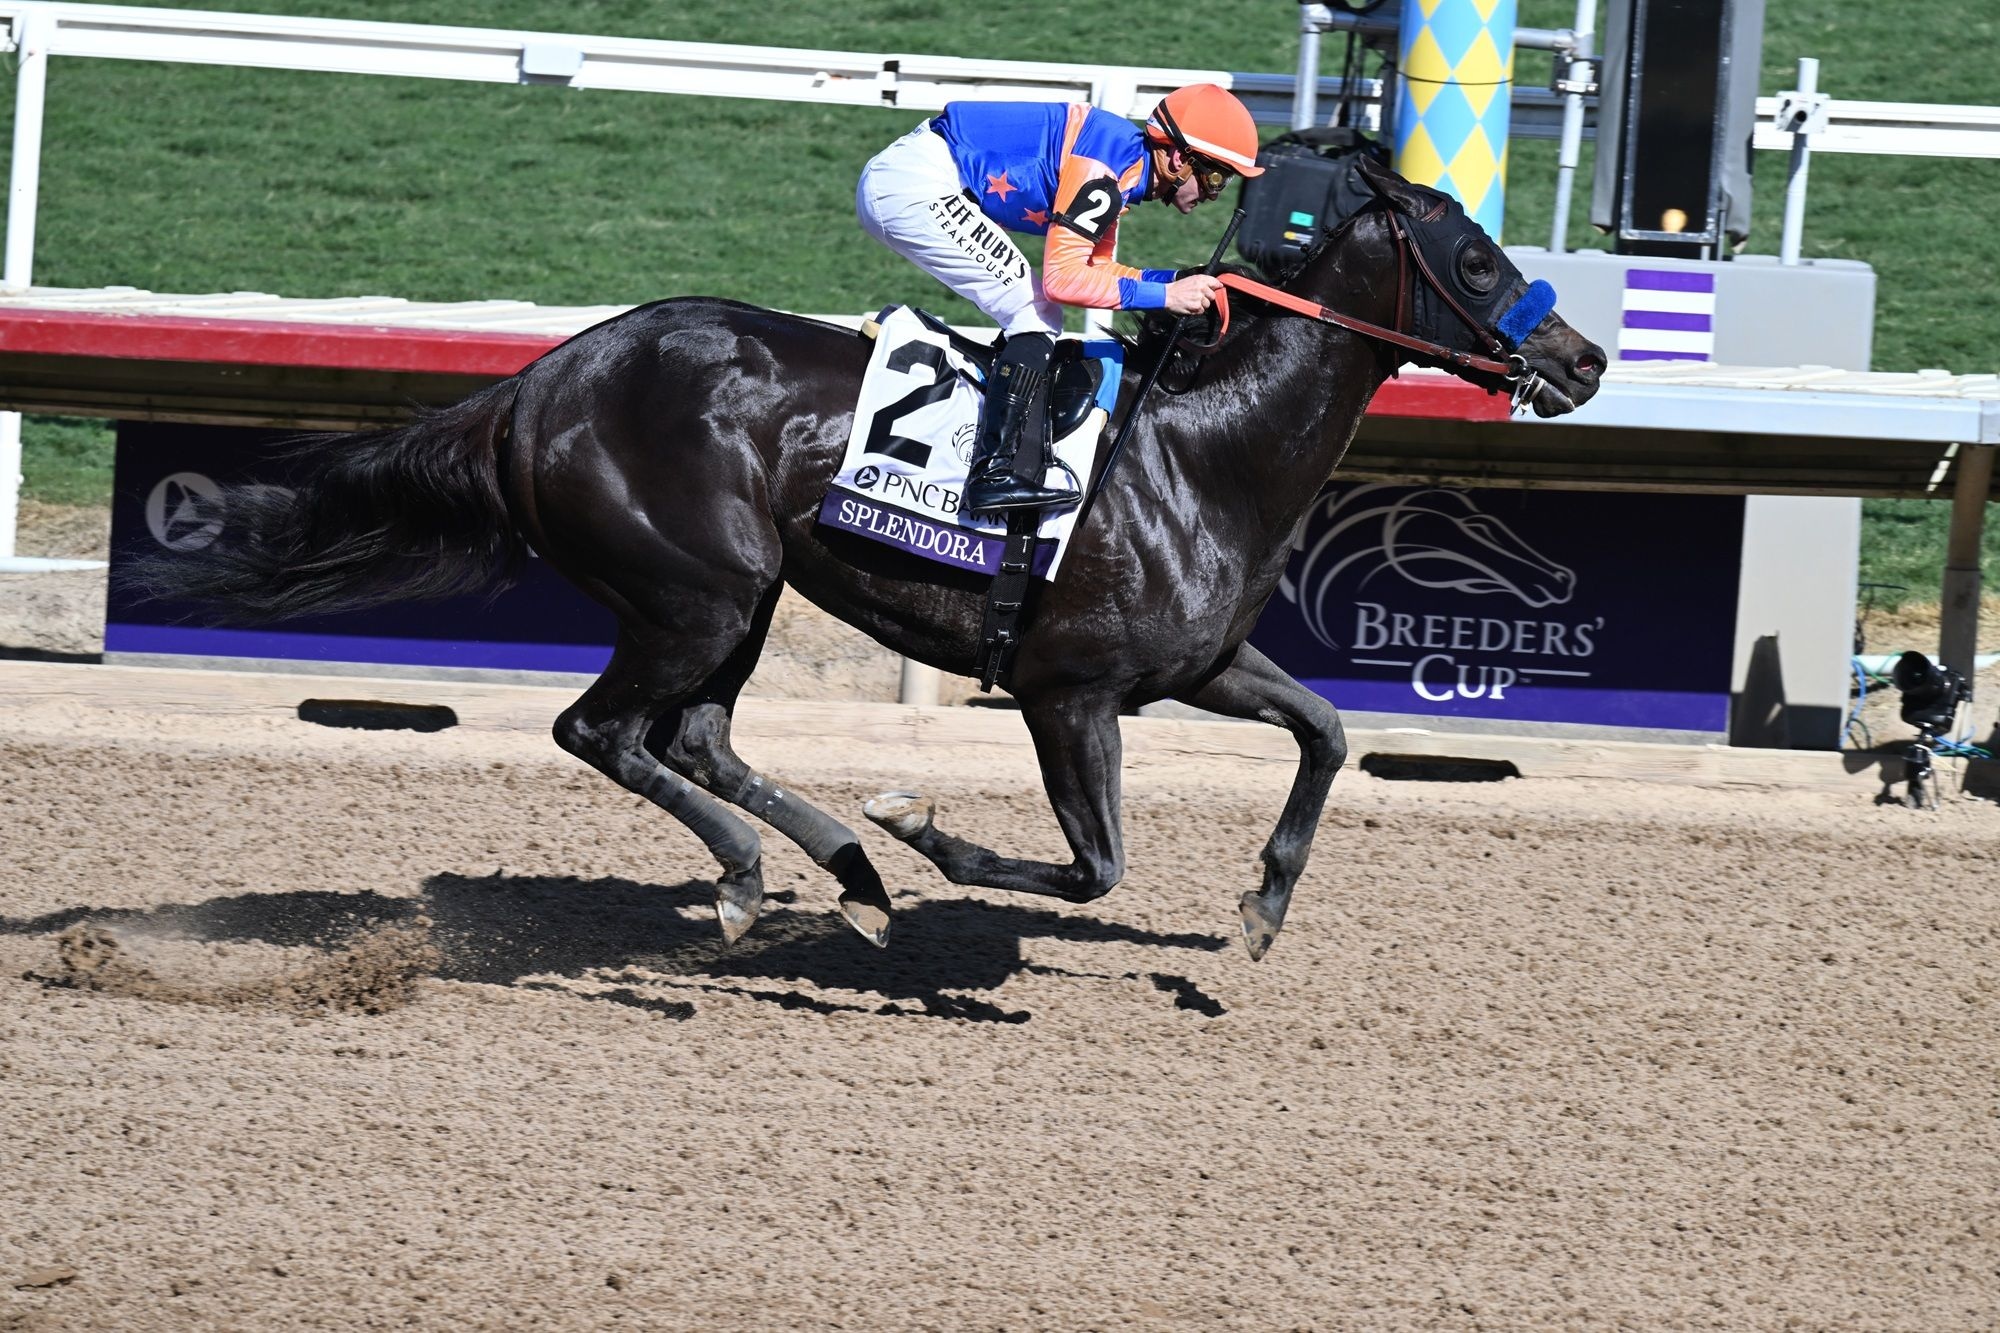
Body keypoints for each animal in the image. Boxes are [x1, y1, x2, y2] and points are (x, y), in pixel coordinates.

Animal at [145, 155, 1603, 960]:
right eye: (1476, 256)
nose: (1583, 357)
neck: (1205, 449)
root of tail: (534, 383)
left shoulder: (1197, 666)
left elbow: (1327, 731)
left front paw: (1260, 908)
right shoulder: (1069, 691)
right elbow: (1094, 864)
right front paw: (924, 828)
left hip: (738, 595)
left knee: (695, 737)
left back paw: (839, 875)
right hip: (698, 588)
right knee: (604, 731)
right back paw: (764, 874)